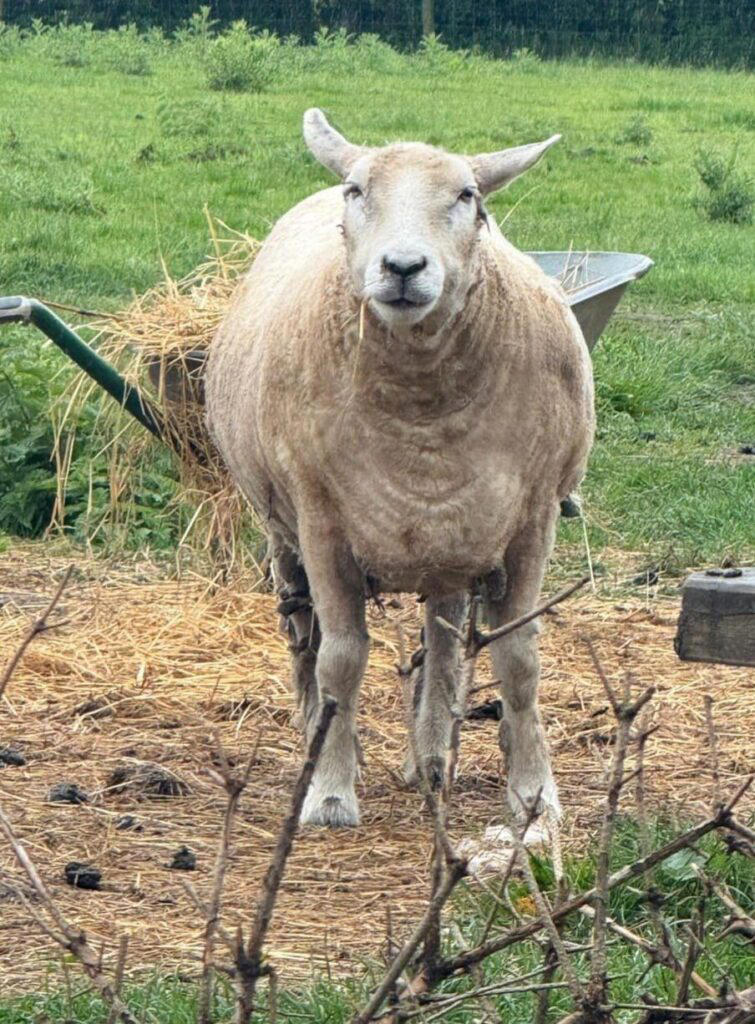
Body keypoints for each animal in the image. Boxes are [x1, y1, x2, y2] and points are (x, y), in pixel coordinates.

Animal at [205, 109, 595, 828]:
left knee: (441, 645)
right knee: (304, 640)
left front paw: (534, 793)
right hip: (283, 529)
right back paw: (324, 744)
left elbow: (519, 659)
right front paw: (331, 790)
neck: (423, 412)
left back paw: (432, 760)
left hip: (452, 541)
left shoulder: (531, 520)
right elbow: (340, 661)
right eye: (356, 191)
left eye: (467, 195)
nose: (404, 267)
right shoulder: (323, 522)